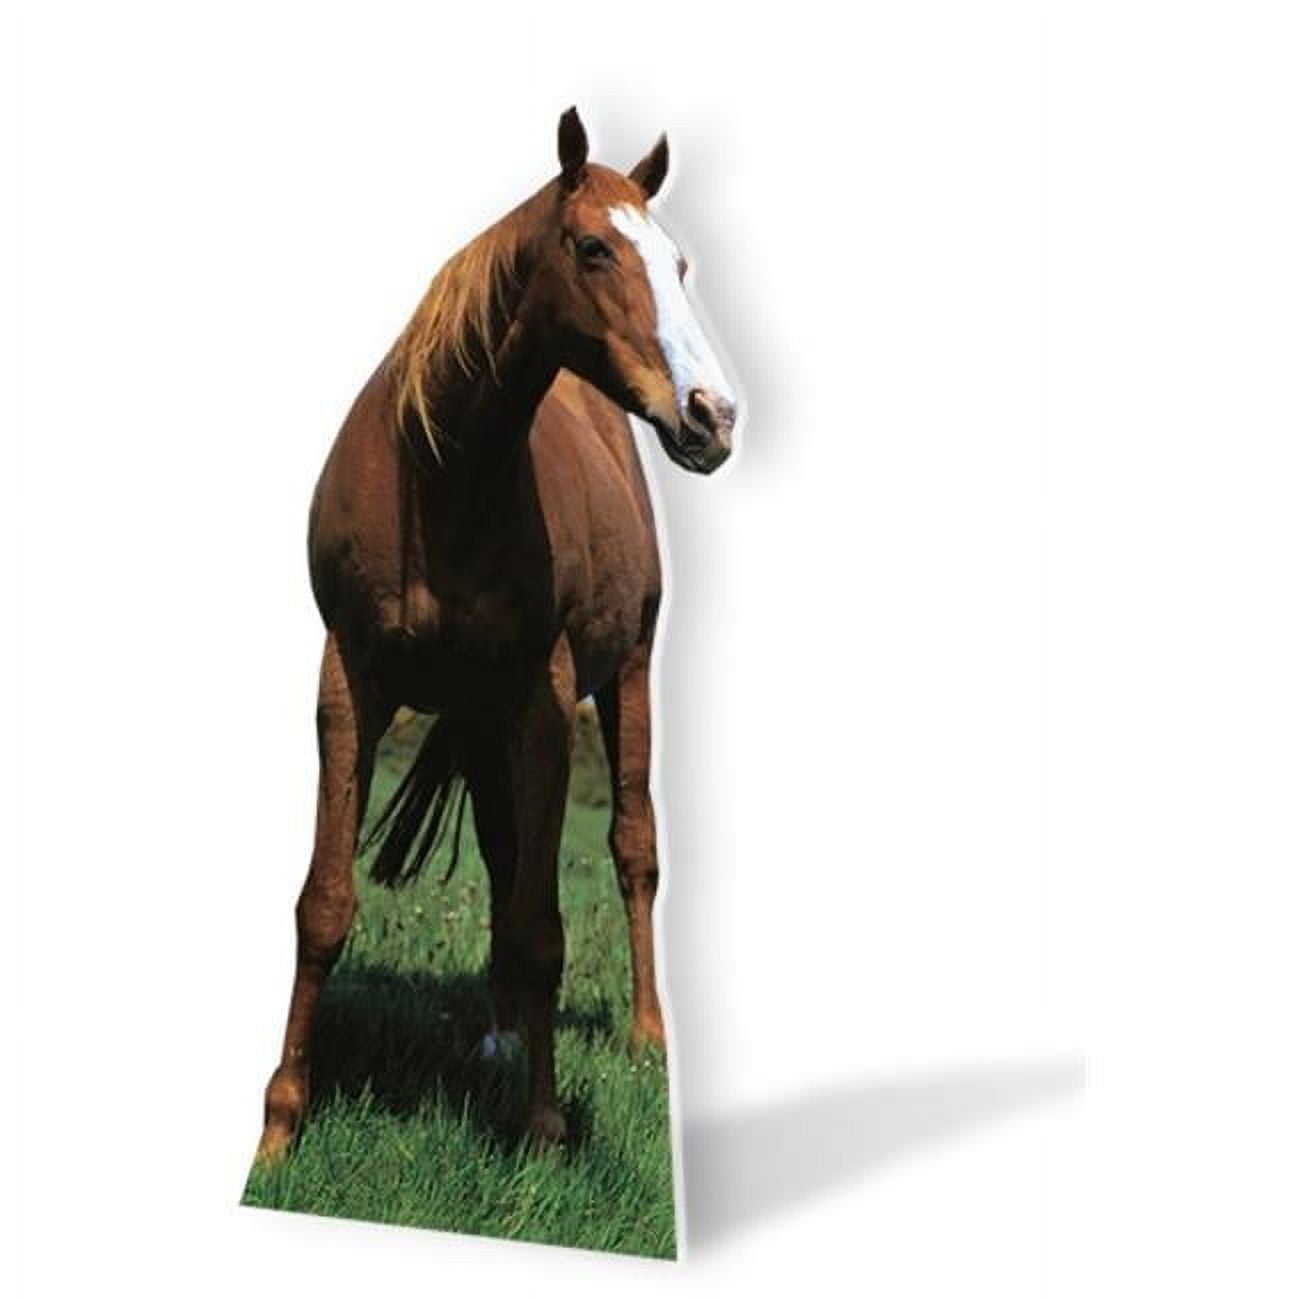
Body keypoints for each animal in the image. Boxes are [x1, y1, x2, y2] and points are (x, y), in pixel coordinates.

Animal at [256, 107, 739, 1159]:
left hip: (624, 675)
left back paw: (643, 1037)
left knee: (633, 851)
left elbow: (545, 924)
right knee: (503, 850)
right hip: (478, 724)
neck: (438, 474)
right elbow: (324, 904)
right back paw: (500, 1033)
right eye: (595, 248)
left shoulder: (544, 697)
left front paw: (546, 1125)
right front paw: (278, 1125)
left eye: (679, 263)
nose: (714, 415)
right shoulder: (348, 683)